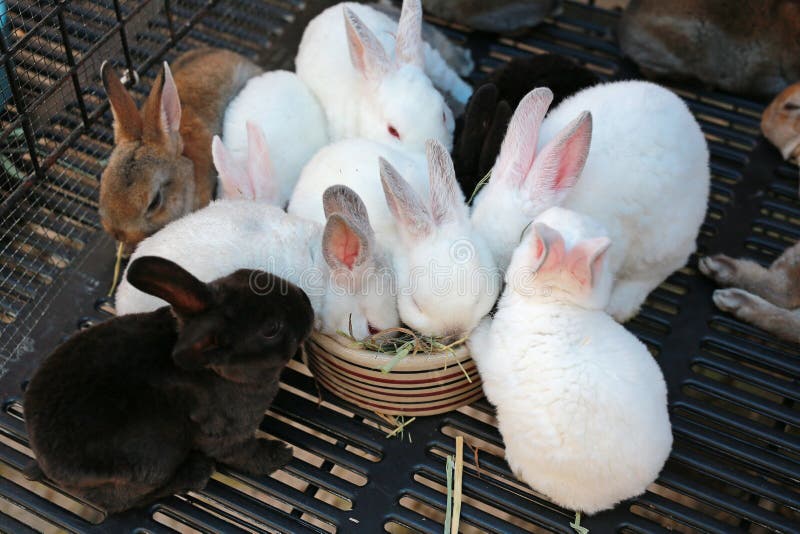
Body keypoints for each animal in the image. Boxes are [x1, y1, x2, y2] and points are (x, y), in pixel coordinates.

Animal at [24, 256, 314, 514]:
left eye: (250, 274)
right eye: (271, 330)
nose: (307, 303)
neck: (218, 372)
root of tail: (47, 466)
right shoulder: (227, 434)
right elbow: (243, 454)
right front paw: (279, 454)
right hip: (154, 460)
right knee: (122, 503)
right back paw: (195, 473)